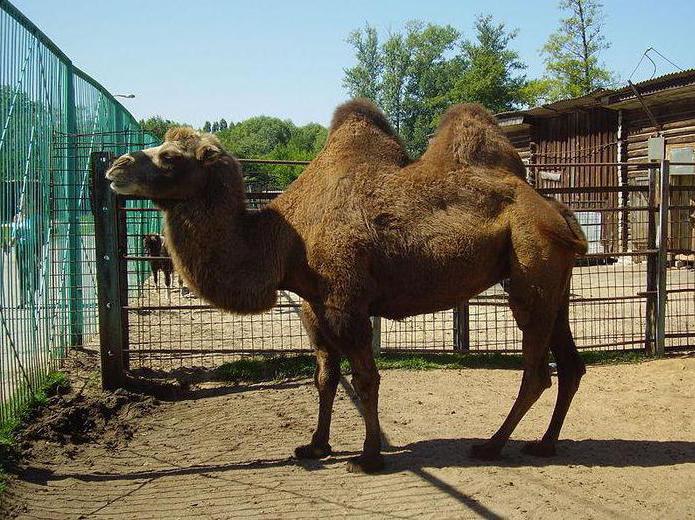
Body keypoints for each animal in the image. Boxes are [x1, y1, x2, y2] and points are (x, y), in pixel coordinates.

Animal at [106, 99, 588, 474]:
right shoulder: (312, 305)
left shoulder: (345, 301)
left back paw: (491, 445)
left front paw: (369, 456)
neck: (286, 236)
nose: (115, 165)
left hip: (530, 267)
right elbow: (325, 377)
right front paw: (315, 446)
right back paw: (544, 444)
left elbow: (366, 378)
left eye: (171, 157)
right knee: (569, 364)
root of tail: (557, 210)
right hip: (555, 280)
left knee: (536, 371)